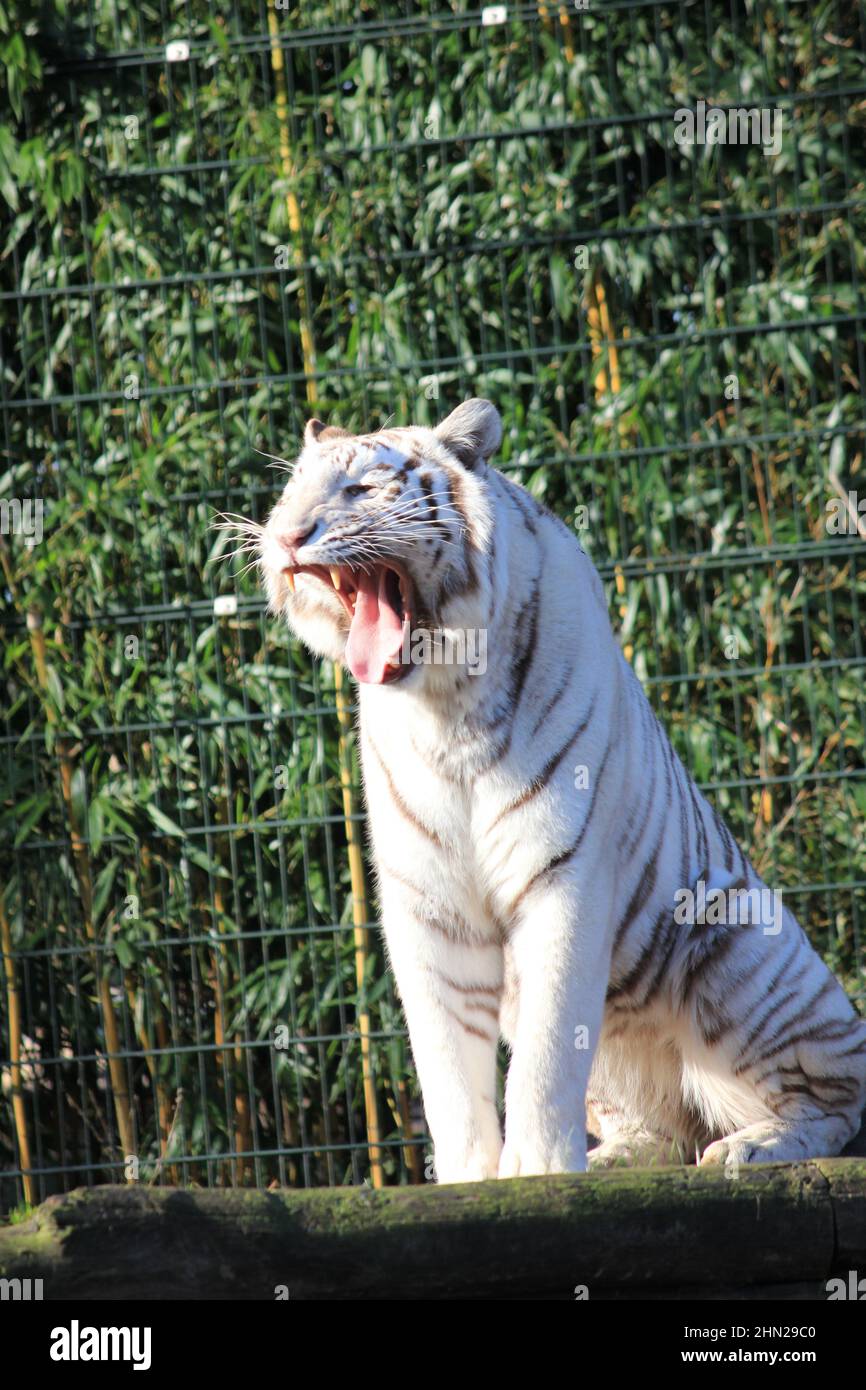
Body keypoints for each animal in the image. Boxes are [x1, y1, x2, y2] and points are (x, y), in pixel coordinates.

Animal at [254, 397, 866, 1181]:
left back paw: (750, 1146)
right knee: (661, 1124)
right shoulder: (428, 904)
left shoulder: (562, 873)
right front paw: (472, 1179)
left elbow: (547, 1052)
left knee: (834, 1100)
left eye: (360, 489)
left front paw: (538, 1171)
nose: (285, 536)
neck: (444, 705)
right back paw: (614, 1158)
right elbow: (447, 1064)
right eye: (288, 495)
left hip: (741, 961)